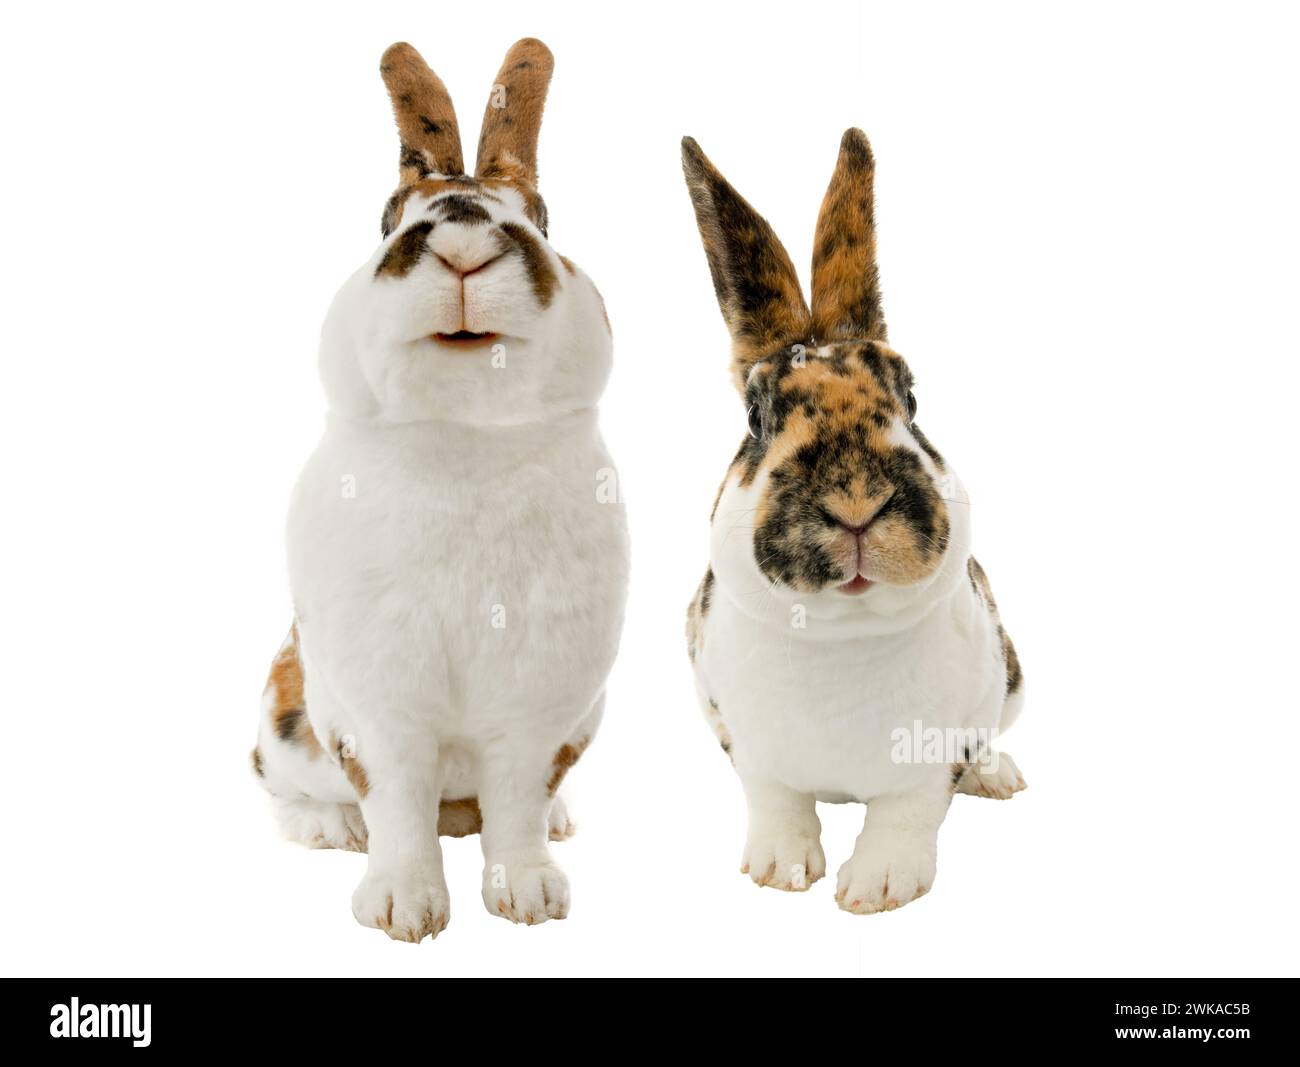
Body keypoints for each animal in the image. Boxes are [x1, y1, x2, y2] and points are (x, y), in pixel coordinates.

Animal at [250, 39, 629, 942]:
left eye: (540, 218)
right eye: (390, 218)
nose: (462, 249)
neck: (466, 444)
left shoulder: (541, 707)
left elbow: (519, 801)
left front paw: (530, 896)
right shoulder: (376, 711)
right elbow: (395, 805)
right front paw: (401, 909)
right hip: (284, 721)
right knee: (289, 792)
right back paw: (331, 828)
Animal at [680, 129, 1025, 914]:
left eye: (912, 399)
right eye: (755, 416)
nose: (857, 504)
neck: (842, 633)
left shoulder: (935, 755)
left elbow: (908, 814)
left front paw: (878, 888)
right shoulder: (744, 742)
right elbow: (775, 800)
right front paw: (779, 869)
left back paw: (1001, 777)